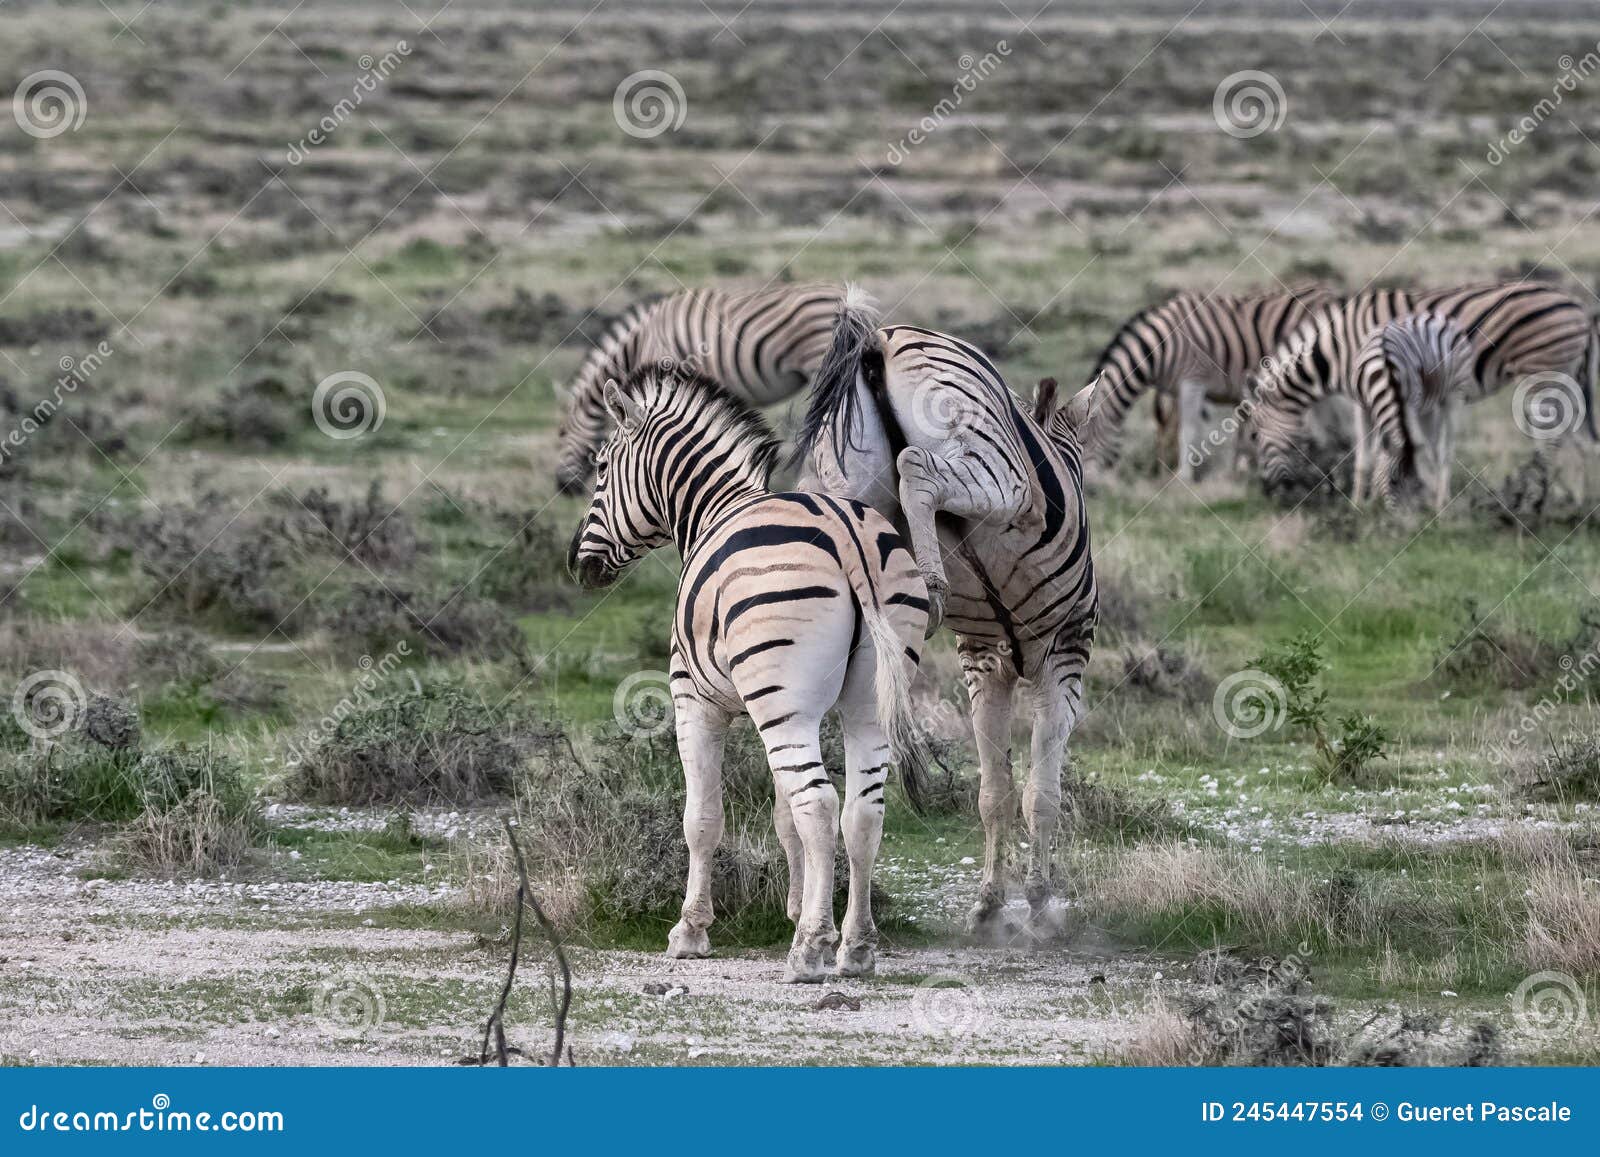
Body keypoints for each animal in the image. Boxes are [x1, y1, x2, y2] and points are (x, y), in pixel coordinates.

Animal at [566, 365, 930, 983]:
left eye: (602, 468)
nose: (581, 565)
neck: (716, 509)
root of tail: (848, 535)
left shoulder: (696, 702)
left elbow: (703, 818)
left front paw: (690, 930)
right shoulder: (796, 710)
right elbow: (783, 816)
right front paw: (797, 907)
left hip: (781, 701)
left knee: (821, 805)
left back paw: (809, 952)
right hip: (861, 703)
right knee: (860, 812)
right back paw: (855, 947)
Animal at [796, 290, 1099, 930]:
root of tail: (880, 337)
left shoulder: (984, 661)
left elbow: (995, 792)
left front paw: (990, 902)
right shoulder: (1066, 654)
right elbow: (1043, 793)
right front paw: (1037, 904)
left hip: (849, 479)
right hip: (998, 471)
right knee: (917, 470)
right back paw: (932, 584)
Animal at [1081, 284, 1340, 481]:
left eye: (1083, 442)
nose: (1087, 490)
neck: (1162, 347)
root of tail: (1328, 293)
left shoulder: (1192, 381)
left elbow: (1187, 430)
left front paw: (1183, 478)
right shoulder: (1175, 391)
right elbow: (1173, 428)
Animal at [1246, 283, 1600, 503]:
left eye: (1255, 435)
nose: (1268, 490)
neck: (1337, 348)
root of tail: (1579, 306)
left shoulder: (1372, 395)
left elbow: (1375, 452)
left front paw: (1366, 503)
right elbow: (1370, 455)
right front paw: (1366, 503)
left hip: (1544, 374)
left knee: (1553, 442)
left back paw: (1540, 498)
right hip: (1566, 379)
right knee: (1581, 442)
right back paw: (1576, 501)